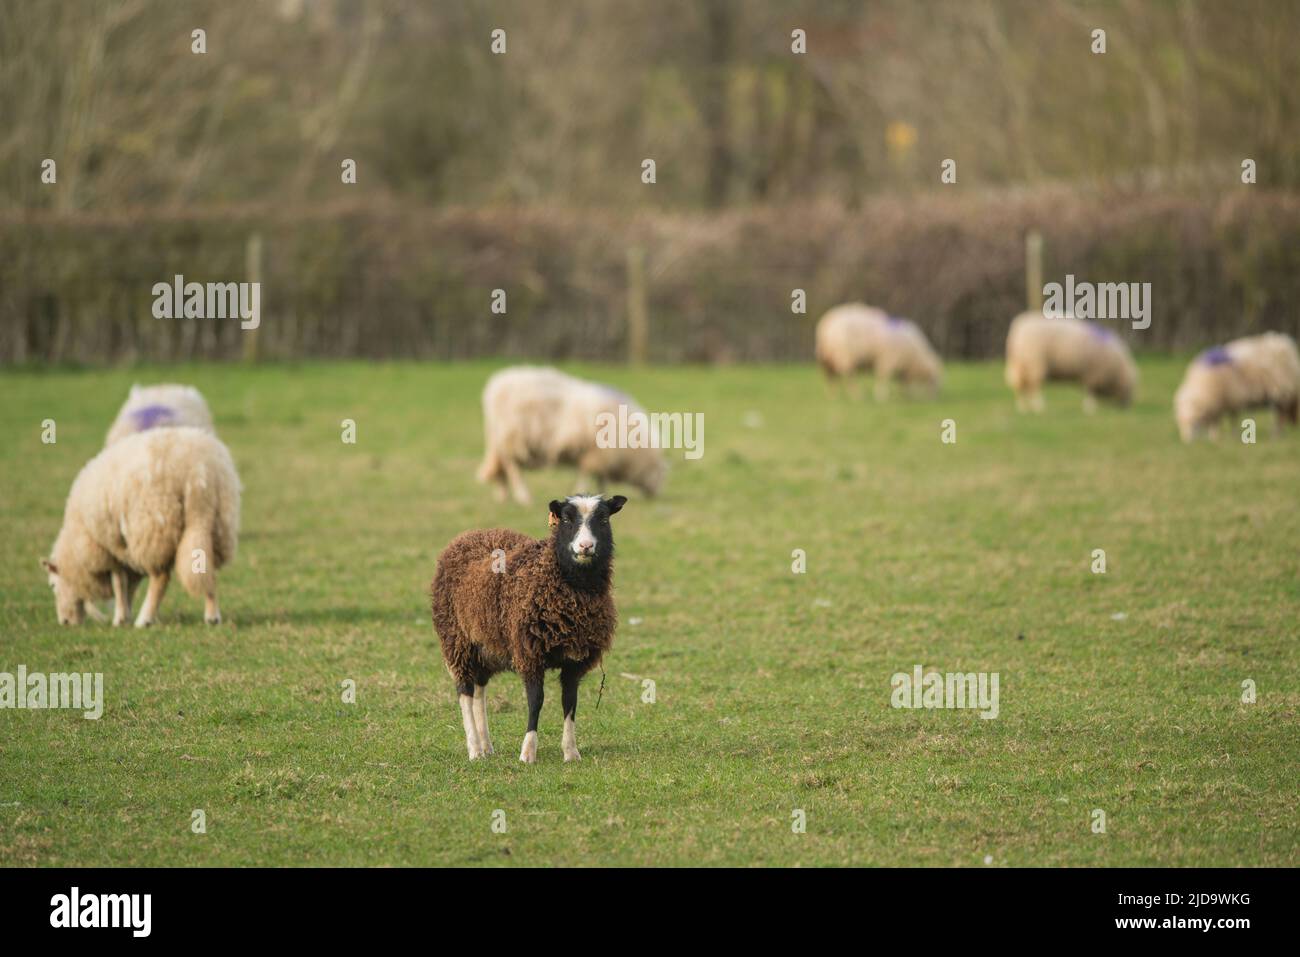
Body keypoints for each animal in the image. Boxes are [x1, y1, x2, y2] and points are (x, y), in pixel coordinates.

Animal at [42, 427, 240, 627]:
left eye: (52, 585)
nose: (65, 622)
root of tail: (199, 472)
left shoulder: (110, 548)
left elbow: (119, 583)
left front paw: (121, 618)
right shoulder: (125, 551)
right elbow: (130, 585)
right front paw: (126, 614)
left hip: (154, 528)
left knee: (161, 578)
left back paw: (145, 619)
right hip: (217, 525)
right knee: (207, 570)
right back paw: (212, 616)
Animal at [430, 493, 627, 763]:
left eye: (604, 519)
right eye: (566, 519)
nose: (585, 546)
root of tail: (470, 534)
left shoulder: (574, 661)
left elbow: (570, 702)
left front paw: (571, 752)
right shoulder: (530, 653)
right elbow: (536, 701)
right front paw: (528, 752)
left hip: (485, 646)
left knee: (479, 691)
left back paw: (486, 746)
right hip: (456, 640)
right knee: (465, 692)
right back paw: (474, 749)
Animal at [477, 366, 665, 506]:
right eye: (658, 473)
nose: (654, 495)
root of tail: (494, 387)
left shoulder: (600, 456)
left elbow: (600, 477)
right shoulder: (596, 453)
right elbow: (586, 473)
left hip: (500, 439)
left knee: (500, 468)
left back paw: (502, 496)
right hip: (513, 438)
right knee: (513, 468)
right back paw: (524, 497)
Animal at [1004, 312, 1137, 412]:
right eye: (1131, 386)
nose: (1127, 407)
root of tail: (1019, 327)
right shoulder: (1093, 372)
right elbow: (1090, 390)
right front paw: (1090, 407)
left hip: (1019, 364)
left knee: (1020, 387)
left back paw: (1022, 408)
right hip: (1034, 363)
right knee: (1034, 386)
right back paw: (1039, 407)